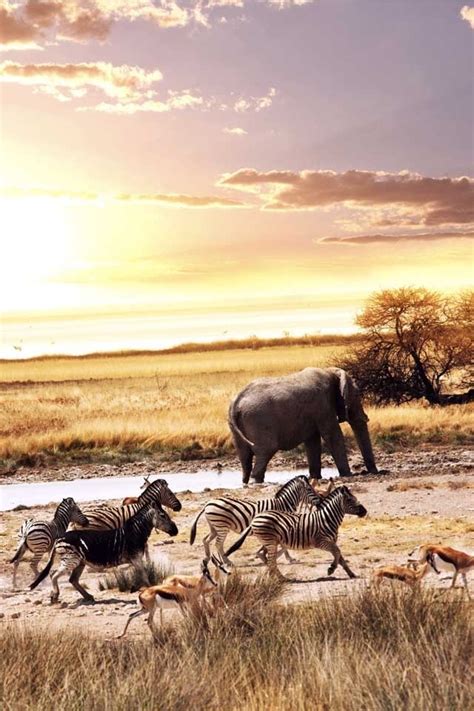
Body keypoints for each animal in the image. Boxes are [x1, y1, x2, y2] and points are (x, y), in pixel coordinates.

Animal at [30, 502, 178, 604]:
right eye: (163, 515)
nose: (175, 531)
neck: (135, 532)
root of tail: (59, 538)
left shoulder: (135, 560)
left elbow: (141, 575)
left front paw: (135, 588)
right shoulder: (136, 558)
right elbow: (145, 576)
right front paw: (148, 591)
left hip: (80, 562)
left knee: (73, 580)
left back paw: (88, 596)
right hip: (71, 560)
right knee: (54, 575)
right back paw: (55, 596)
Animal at [189, 475, 325, 566]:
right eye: (309, 489)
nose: (320, 501)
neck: (282, 505)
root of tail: (208, 503)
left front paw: (280, 557)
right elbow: (283, 545)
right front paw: (286, 558)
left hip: (214, 527)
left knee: (206, 540)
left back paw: (207, 558)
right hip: (222, 526)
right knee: (218, 544)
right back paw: (227, 561)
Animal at [224, 485, 367, 579]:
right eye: (350, 500)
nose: (365, 511)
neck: (326, 518)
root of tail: (256, 517)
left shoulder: (332, 541)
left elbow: (340, 557)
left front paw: (351, 573)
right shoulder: (321, 541)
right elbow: (337, 553)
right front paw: (331, 569)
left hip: (270, 542)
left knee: (264, 556)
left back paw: (276, 576)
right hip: (270, 541)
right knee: (270, 560)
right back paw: (279, 578)